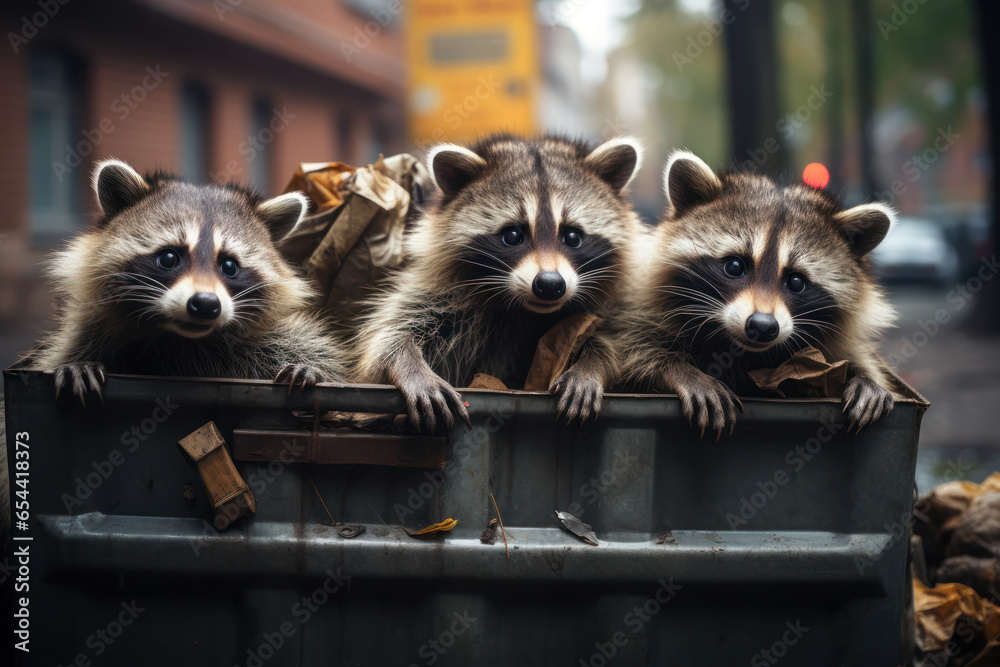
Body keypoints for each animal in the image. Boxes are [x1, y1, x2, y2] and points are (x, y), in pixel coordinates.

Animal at [29, 159, 345, 401]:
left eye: (229, 266)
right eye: (169, 258)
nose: (205, 304)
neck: (178, 339)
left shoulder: (274, 340)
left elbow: (318, 356)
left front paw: (309, 369)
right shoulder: (86, 332)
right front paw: (77, 365)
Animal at [353, 135, 644, 430]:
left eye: (573, 237)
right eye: (513, 235)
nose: (550, 285)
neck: (527, 312)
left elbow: (624, 343)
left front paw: (592, 363)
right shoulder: (439, 290)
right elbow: (391, 335)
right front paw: (409, 363)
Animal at [621, 151, 897, 437]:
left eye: (796, 281)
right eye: (734, 266)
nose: (763, 326)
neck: (744, 353)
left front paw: (863, 375)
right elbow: (635, 350)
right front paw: (680, 371)